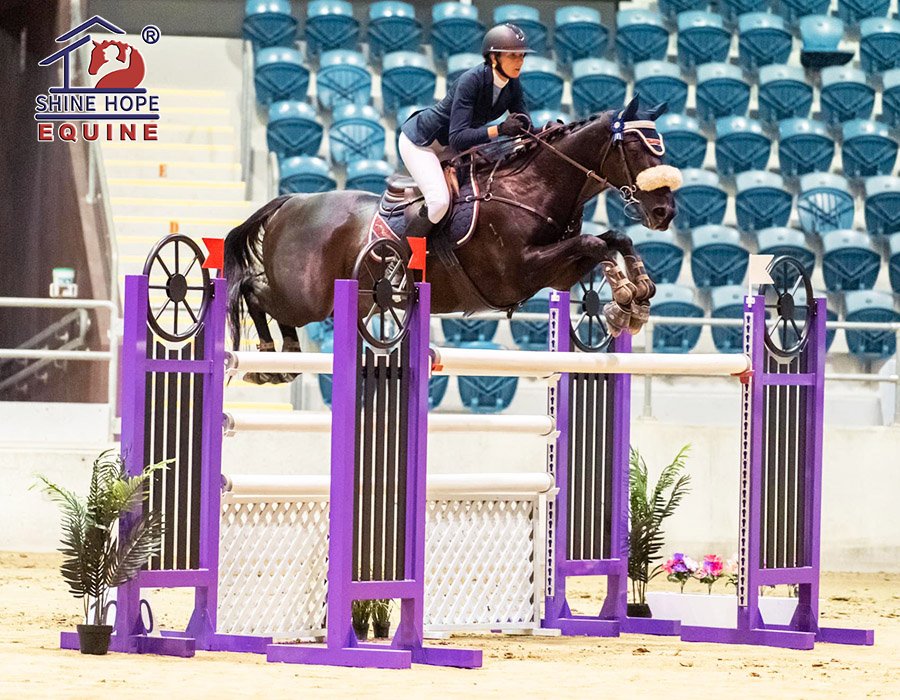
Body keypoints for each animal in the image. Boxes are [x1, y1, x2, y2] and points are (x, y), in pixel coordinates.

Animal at [224, 97, 682, 384]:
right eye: (637, 149)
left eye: (662, 147)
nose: (665, 213)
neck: (534, 187)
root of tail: (291, 201)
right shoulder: (518, 272)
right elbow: (594, 244)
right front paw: (623, 300)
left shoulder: (558, 275)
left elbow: (614, 238)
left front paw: (638, 293)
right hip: (306, 295)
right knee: (252, 290)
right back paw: (268, 355)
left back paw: (283, 359)